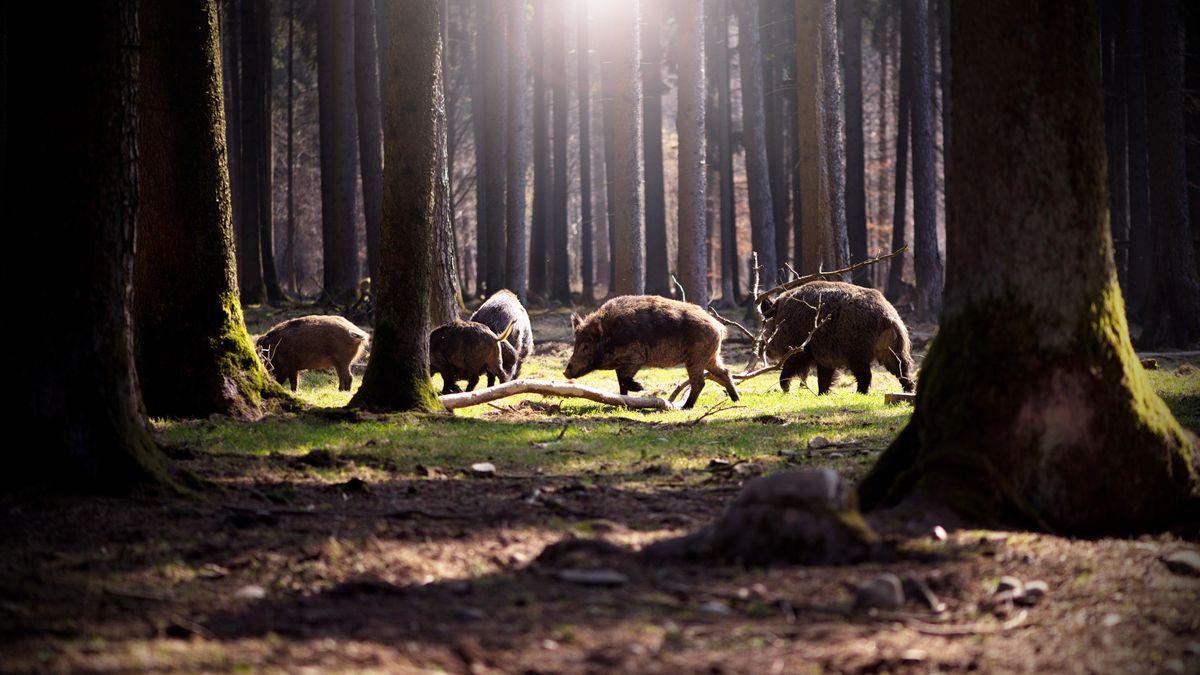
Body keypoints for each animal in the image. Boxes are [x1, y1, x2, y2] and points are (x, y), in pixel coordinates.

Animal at [564, 295, 740, 409]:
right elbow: (620, 382)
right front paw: (623, 401)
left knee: (700, 382)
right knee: (725, 371)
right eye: (576, 344)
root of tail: (719, 327)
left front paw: (640, 388)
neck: (610, 336)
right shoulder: (621, 364)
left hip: (696, 358)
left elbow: (625, 379)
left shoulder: (635, 358)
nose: (565, 372)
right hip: (710, 357)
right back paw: (736, 399)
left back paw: (686, 407)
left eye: (586, 346)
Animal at [761, 280, 915, 395]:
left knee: (866, 375)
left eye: (766, 324)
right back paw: (909, 390)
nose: (764, 350)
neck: (782, 318)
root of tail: (889, 317)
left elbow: (788, 371)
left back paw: (859, 393)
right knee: (902, 368)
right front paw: (822, 394)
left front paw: (786, 390)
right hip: (891, 350)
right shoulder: (824, 357)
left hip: (857, 352)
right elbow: (824, 377)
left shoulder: (798, 349)